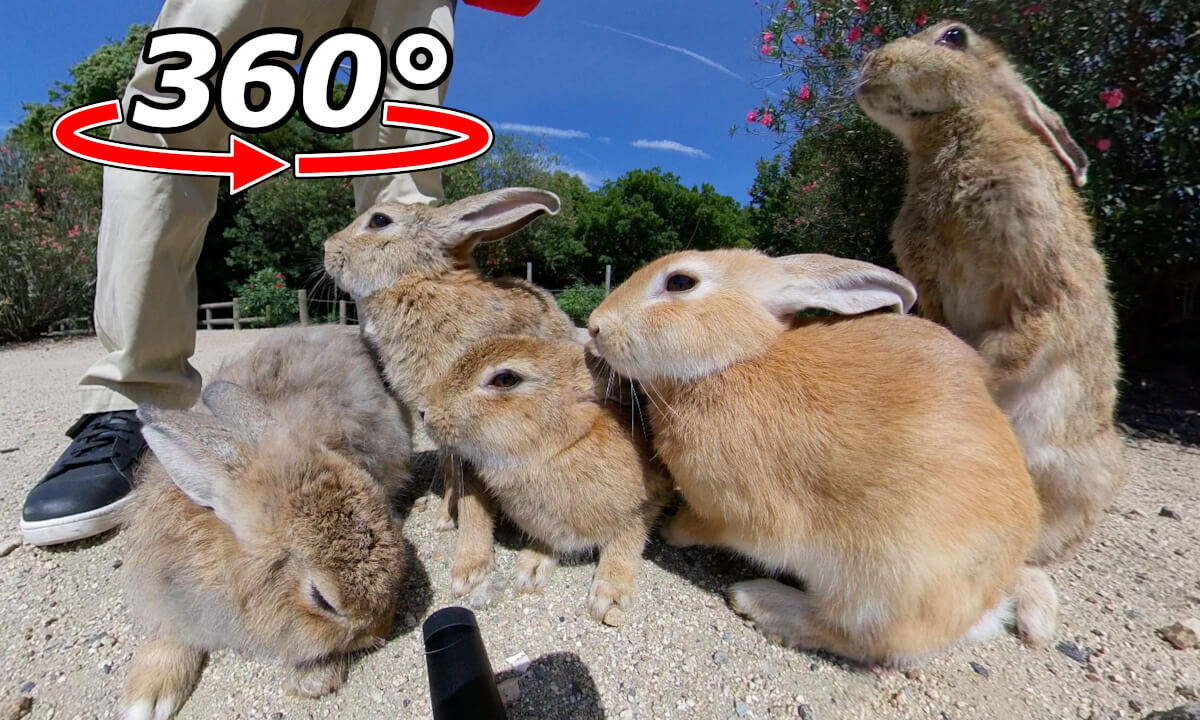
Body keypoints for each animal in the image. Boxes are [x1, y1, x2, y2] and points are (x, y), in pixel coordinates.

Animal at [323, 188, 580, 533]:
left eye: (379, 220)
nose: (327, 248)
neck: (416, 280)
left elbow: (454, 465)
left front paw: (444, 518)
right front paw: (441, 512)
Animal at [420, 335, 673, 623]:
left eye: (505, 379)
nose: (423, 411)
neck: (560, 448)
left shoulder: (648, 500)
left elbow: (627, 539)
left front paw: (609, 596)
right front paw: (531, 566)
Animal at [586, 248, 1058, 667]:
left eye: (681, 282)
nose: (594, 325)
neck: (734, 361)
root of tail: (991, 599)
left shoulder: (742, 513)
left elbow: (710, 528)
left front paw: (672, 530)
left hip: (882, 582)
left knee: (856, 637)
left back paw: (757, 599)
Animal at [855, 20, 1124, 564]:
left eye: (954, 36)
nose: (870, 62)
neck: (953, 126)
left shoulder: (1038, 282)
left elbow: (1021, 339)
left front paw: (970, 373)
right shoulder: (932, 284)